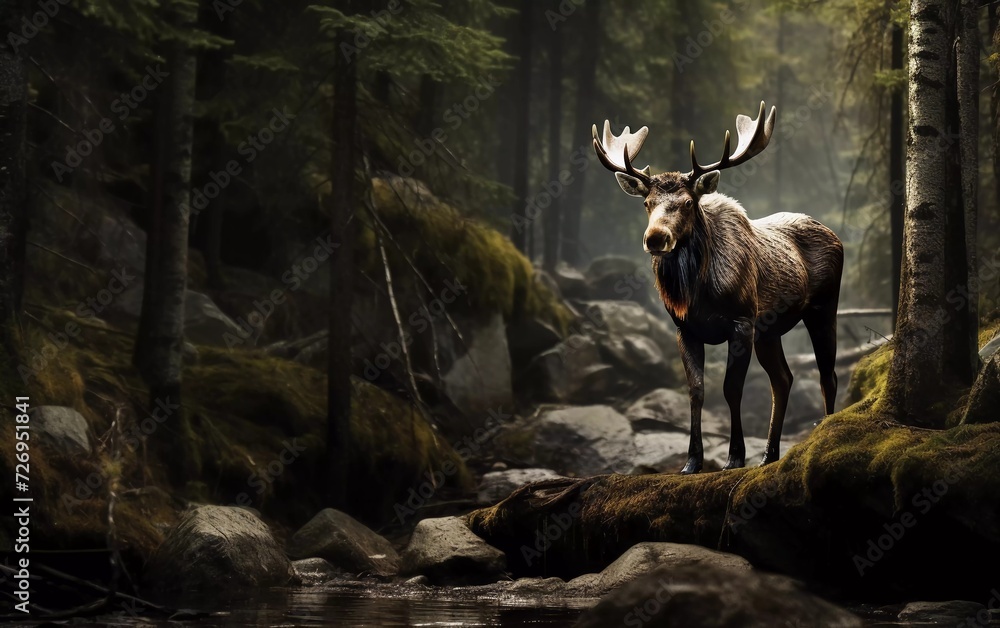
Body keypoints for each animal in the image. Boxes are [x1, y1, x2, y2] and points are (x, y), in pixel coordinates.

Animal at [593, 102, 844, 474]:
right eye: (647, 203)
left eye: (687, 202)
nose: (655, 238)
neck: (698, 294)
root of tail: (836, 236)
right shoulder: (685, 329)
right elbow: (696, 390)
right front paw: (691, 462)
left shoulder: (740, 322)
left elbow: (731, 388)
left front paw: (734, 457)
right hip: (769, 331)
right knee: (783, 379)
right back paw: (768, 455)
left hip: (823, 307)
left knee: (828, 375)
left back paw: (821, 438)